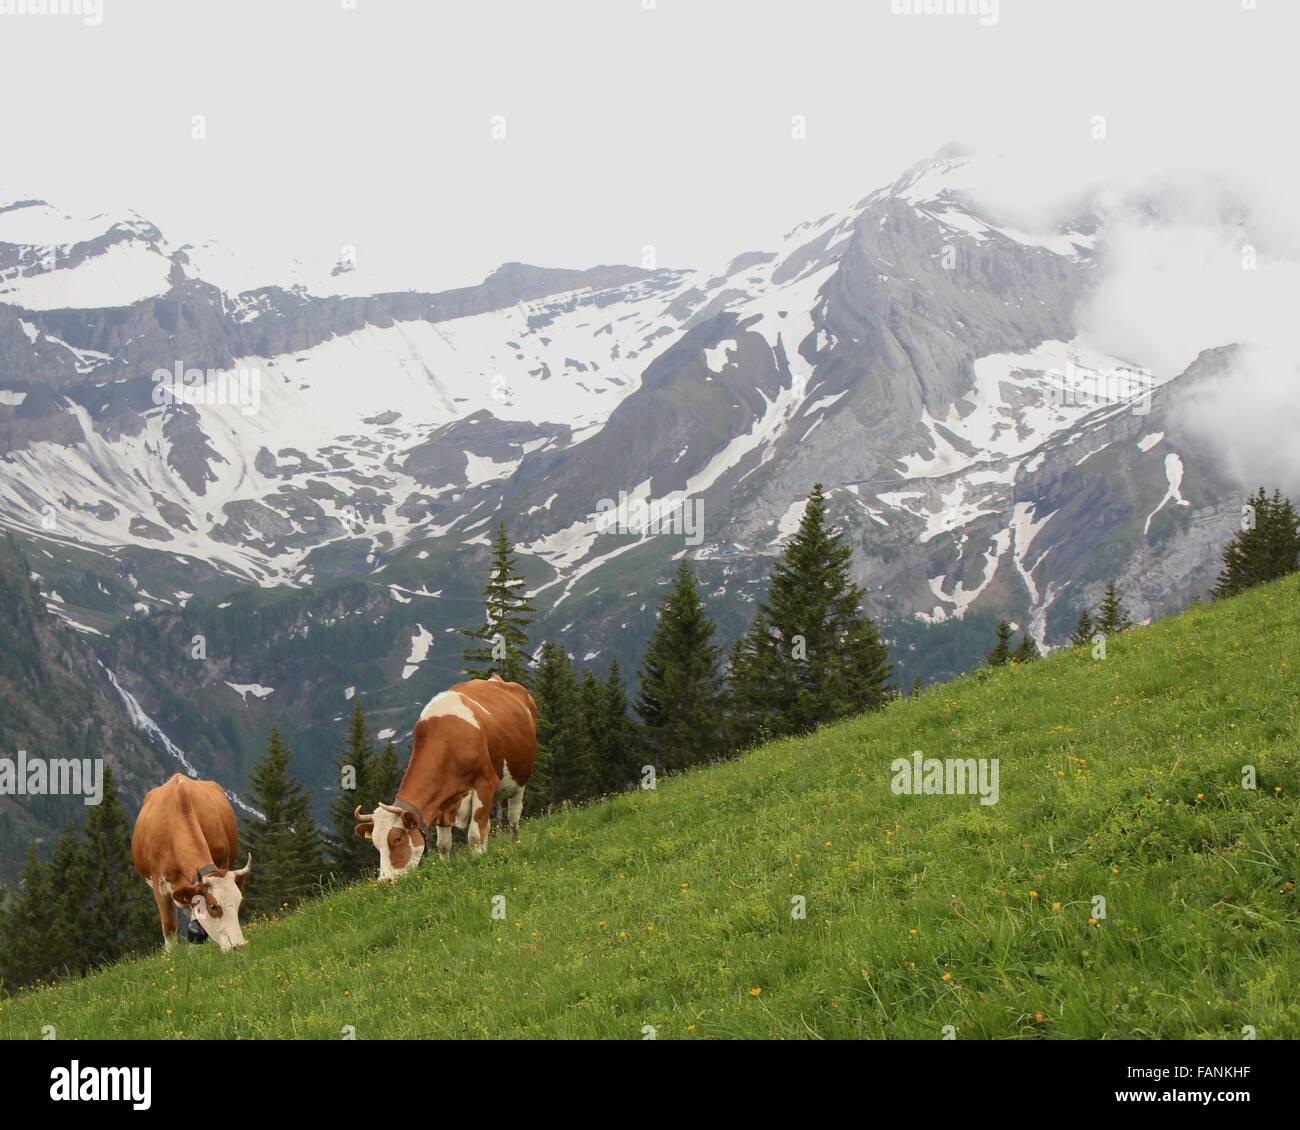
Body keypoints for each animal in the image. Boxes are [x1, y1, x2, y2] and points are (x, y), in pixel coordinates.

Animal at [131, 773, 252, 951]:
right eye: (214, 907)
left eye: (239, 903)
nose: (239, 945)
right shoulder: (158, 883)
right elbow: (169, 926)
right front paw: (171, 954)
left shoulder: (222, 863)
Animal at [354, 674, 537, 881]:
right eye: (375, 844)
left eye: (397, 838)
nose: (386, 880)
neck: (449, 743)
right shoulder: (442, 801)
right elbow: (443, 844)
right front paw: (446, 869)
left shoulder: (485, 784)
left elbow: (474, 835)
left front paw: (480, 863)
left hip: (519, 781)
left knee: (513, 817)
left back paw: (515, 844)